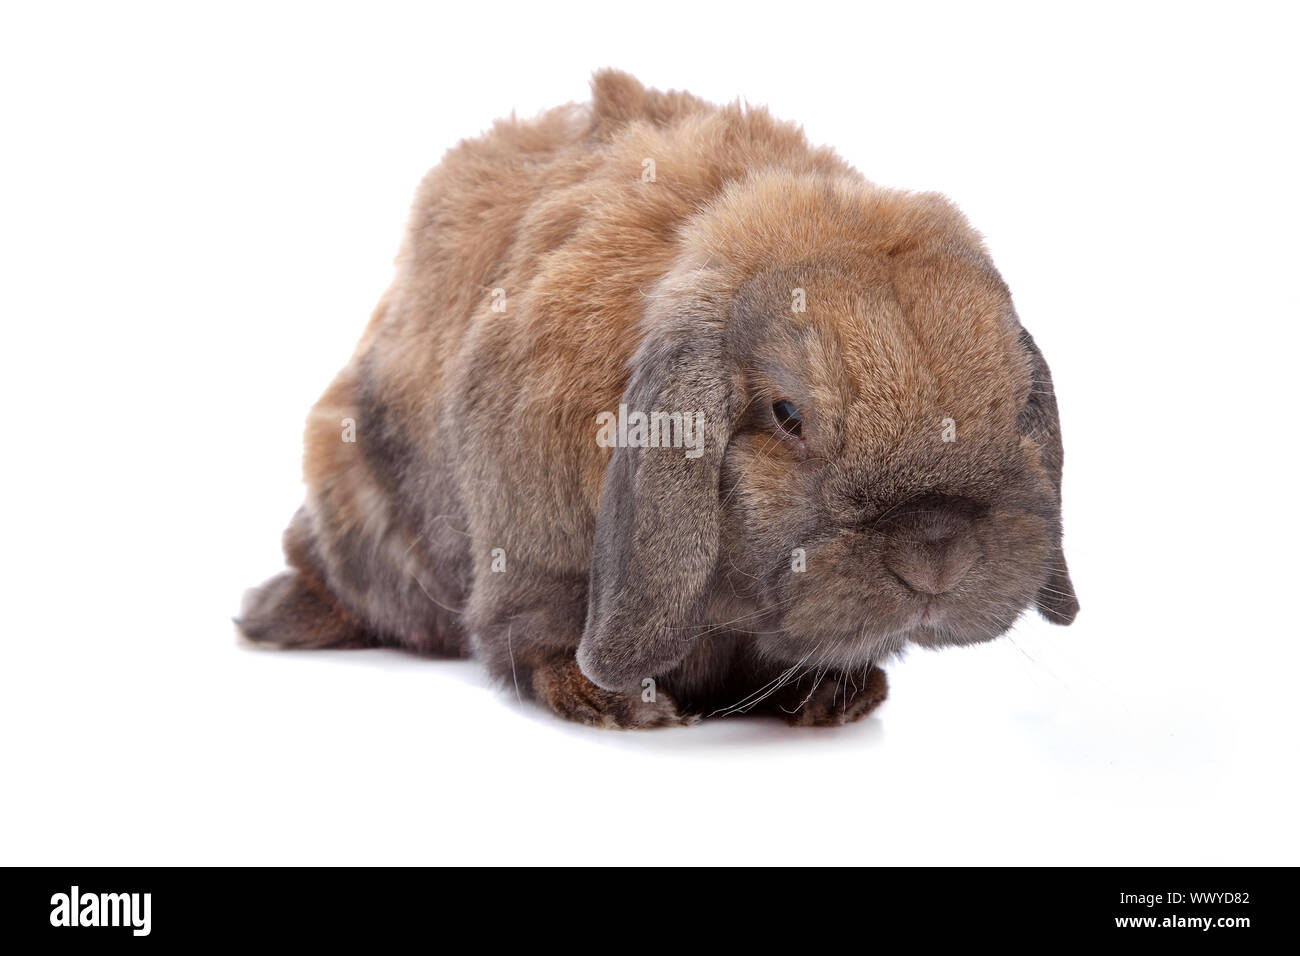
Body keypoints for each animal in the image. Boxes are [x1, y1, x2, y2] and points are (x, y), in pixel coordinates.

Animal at [238, 69, 1079, 729]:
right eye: (789, 417)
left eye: (1013, 404)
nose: (937, 552)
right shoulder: (530, 560)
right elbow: (530, 635)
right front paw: (614, 704)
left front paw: (831, 696)